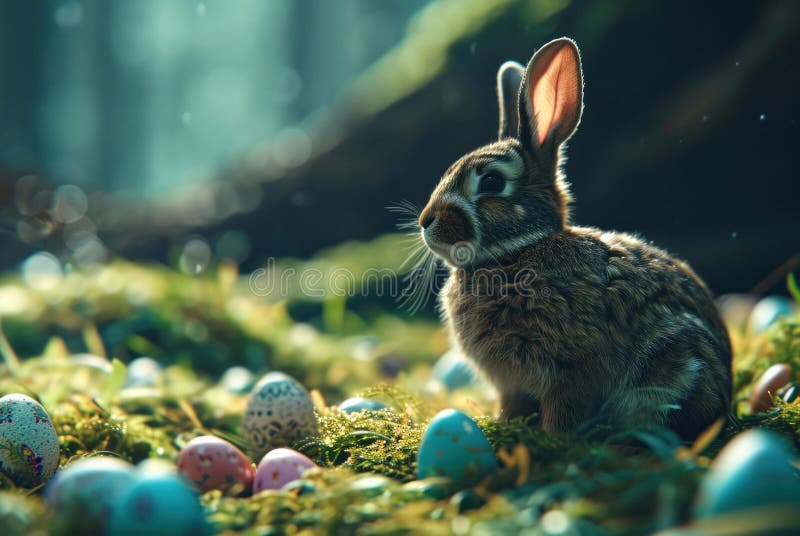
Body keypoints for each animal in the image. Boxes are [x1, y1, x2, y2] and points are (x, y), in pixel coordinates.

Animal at [416, 37, 732, 440]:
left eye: (491, 182)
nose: (425, 222)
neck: (520, 250)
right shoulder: (511, 385)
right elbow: (512, 406)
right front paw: (505, 428)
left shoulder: (572, 371)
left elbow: (564, 410)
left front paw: (552, 441)